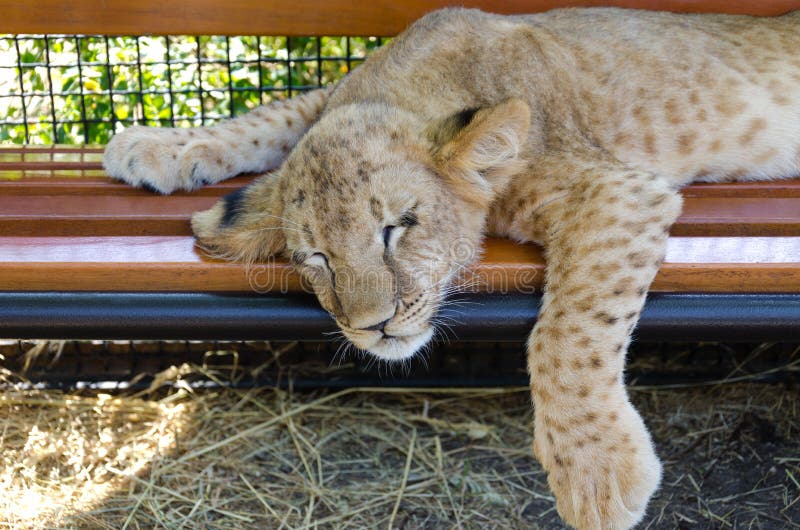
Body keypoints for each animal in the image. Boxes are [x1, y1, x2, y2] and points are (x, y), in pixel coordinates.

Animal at [103, 7, 800, 529]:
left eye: (398, 227)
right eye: (316, 259)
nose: (373, 327)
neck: (411, 81)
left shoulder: (618, 187)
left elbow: (566, 332)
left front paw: (597, 471)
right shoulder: (333, 93)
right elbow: (272, 115)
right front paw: (157, 145)